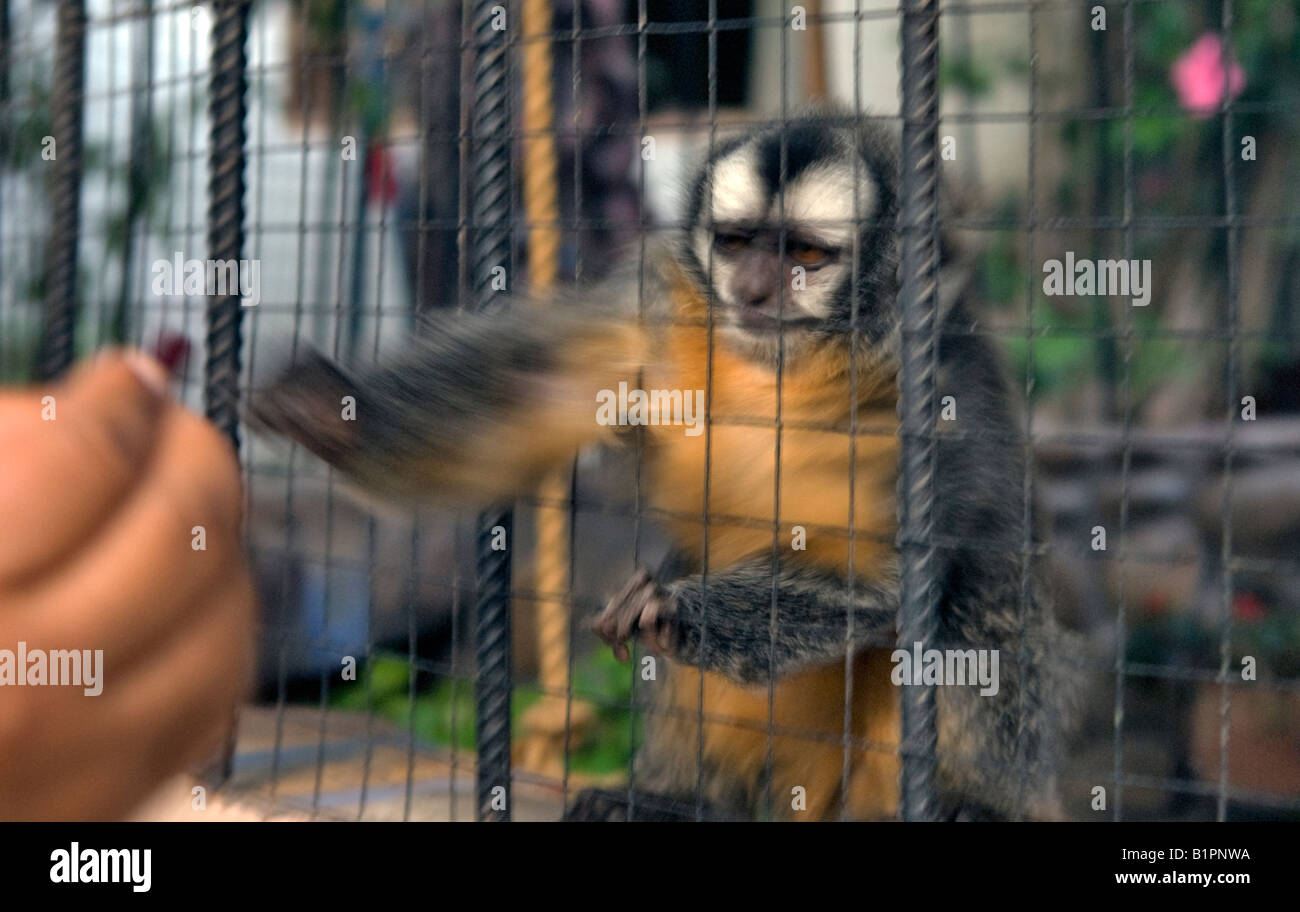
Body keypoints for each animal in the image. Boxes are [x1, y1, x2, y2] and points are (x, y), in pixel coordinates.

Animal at [250, 107, 1079, 821]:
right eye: (738, 243)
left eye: (807, 255)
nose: (752, 291)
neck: (796, 372)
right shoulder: (663, 307)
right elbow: (528, 393)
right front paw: (331, 413)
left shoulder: (943, 399)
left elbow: (885, 581)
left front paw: (668, 610)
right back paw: (678, 800)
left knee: (970, 605)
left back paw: (973, 805)